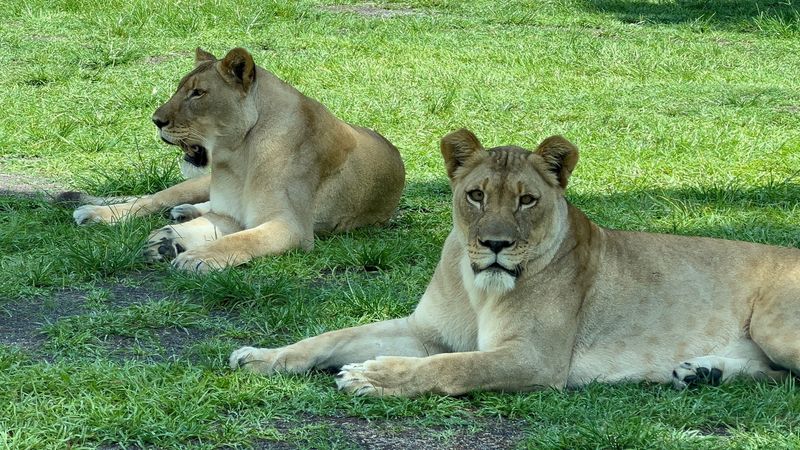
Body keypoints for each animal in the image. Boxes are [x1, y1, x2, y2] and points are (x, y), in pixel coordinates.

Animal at [72, 47, 405, 272]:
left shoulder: (292, 226)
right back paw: (100, 214)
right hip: (196, 184)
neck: (237, 158)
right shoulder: (229, 215)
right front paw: (174, 242)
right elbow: (217, 227)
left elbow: (241, 240)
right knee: (153, 199)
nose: (156, 121)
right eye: (179, 89)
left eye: (197, 93)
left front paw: (196, 256)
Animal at [229, 128, 800, 396]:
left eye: (527, 200)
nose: (496, 245)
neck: (477, 286)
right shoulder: (426, 330)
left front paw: (376, 377)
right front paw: (260, 357)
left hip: (775, 326)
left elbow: (454, 366)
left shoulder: (536, 358)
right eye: (476, 195)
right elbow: (331, 337)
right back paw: (703, 373)